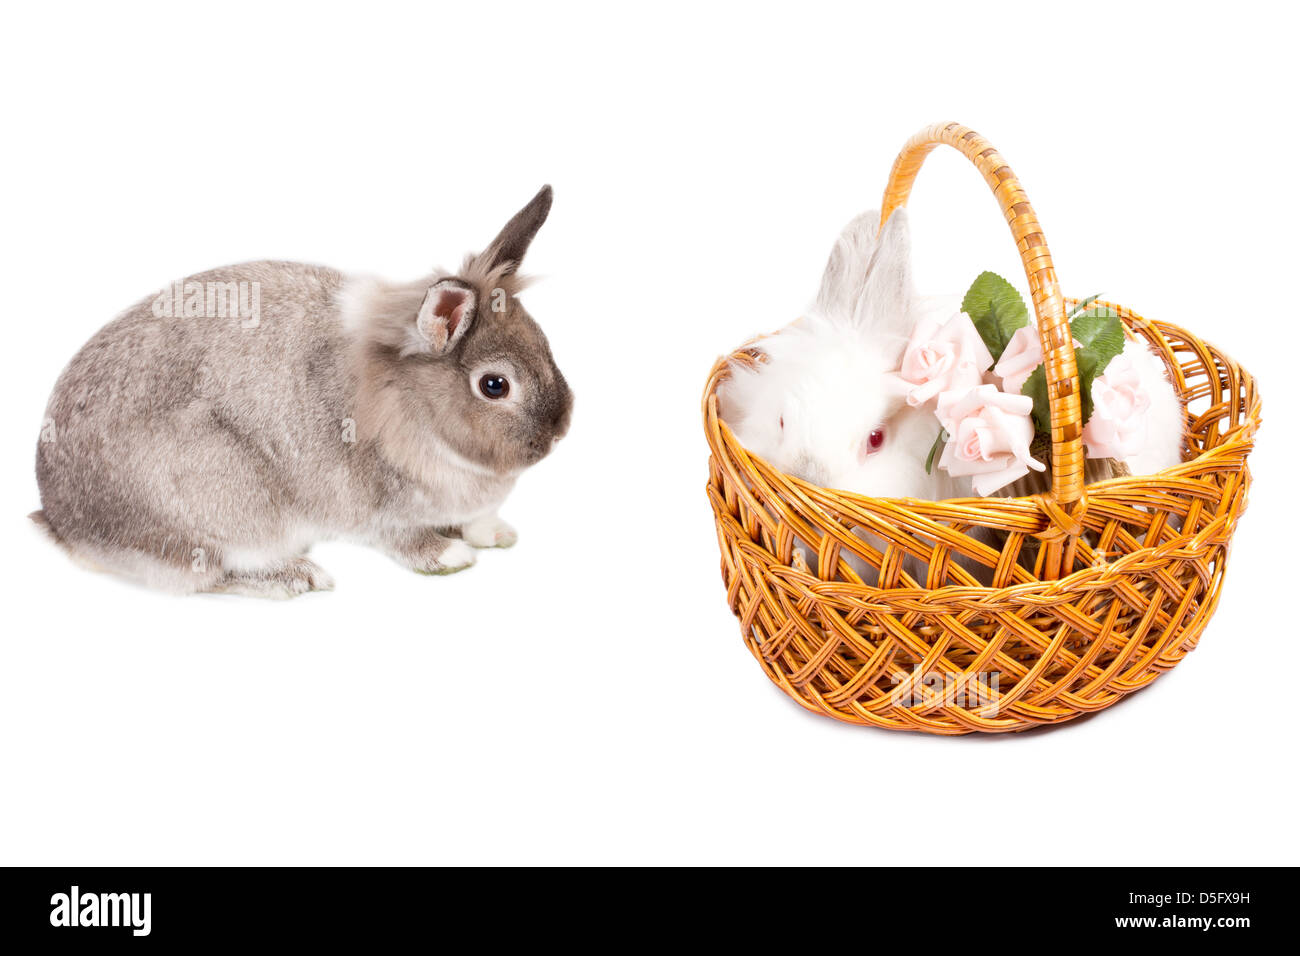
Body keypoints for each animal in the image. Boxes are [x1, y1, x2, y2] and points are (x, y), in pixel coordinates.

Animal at [31, 185, 572, 597]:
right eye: (494, 385)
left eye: (545, 343)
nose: (559, 432)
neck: (408, 401)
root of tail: (64, 522)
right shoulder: (377, 513)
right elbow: (406, 539)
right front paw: (451, 554)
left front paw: (496, 533)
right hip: (225, 507)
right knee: (213, 574)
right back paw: (300, 577)